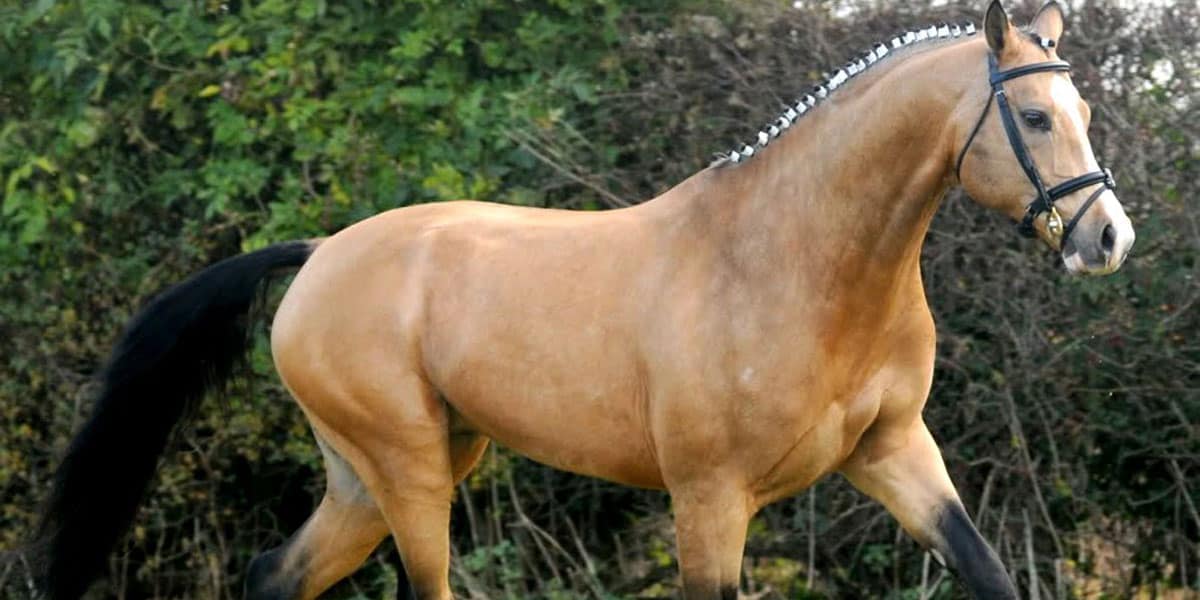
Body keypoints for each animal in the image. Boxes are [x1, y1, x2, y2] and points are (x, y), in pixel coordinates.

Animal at [31, 1, 1135, 598]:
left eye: (1082, 105)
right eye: (1037, 116)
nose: (1108, 238)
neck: (795, 264)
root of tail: (319, 256)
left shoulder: (895, 453)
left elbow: (986, 570)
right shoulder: (709, 498)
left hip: (372, 475)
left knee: (276, 572)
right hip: (409, 474)